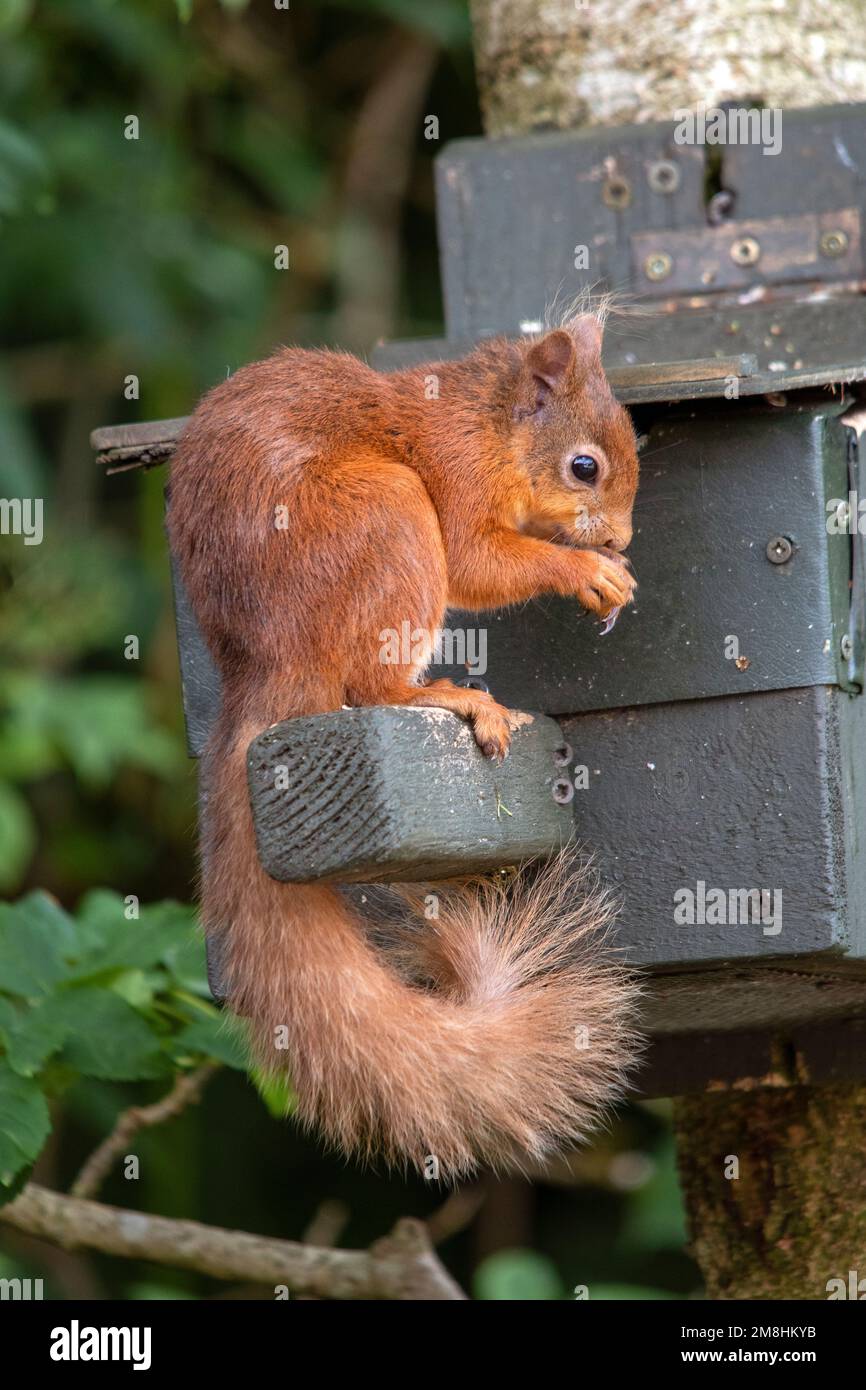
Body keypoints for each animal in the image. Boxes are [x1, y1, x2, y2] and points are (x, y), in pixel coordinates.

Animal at [167, 308, 642, 1178]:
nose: (622, 540)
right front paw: (586, 571)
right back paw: (449, 696)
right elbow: (479, 562)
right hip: (388, 518)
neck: (487, 424)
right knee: (371, 683)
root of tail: (268, 671)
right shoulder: (452, 479)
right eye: (584, 467)